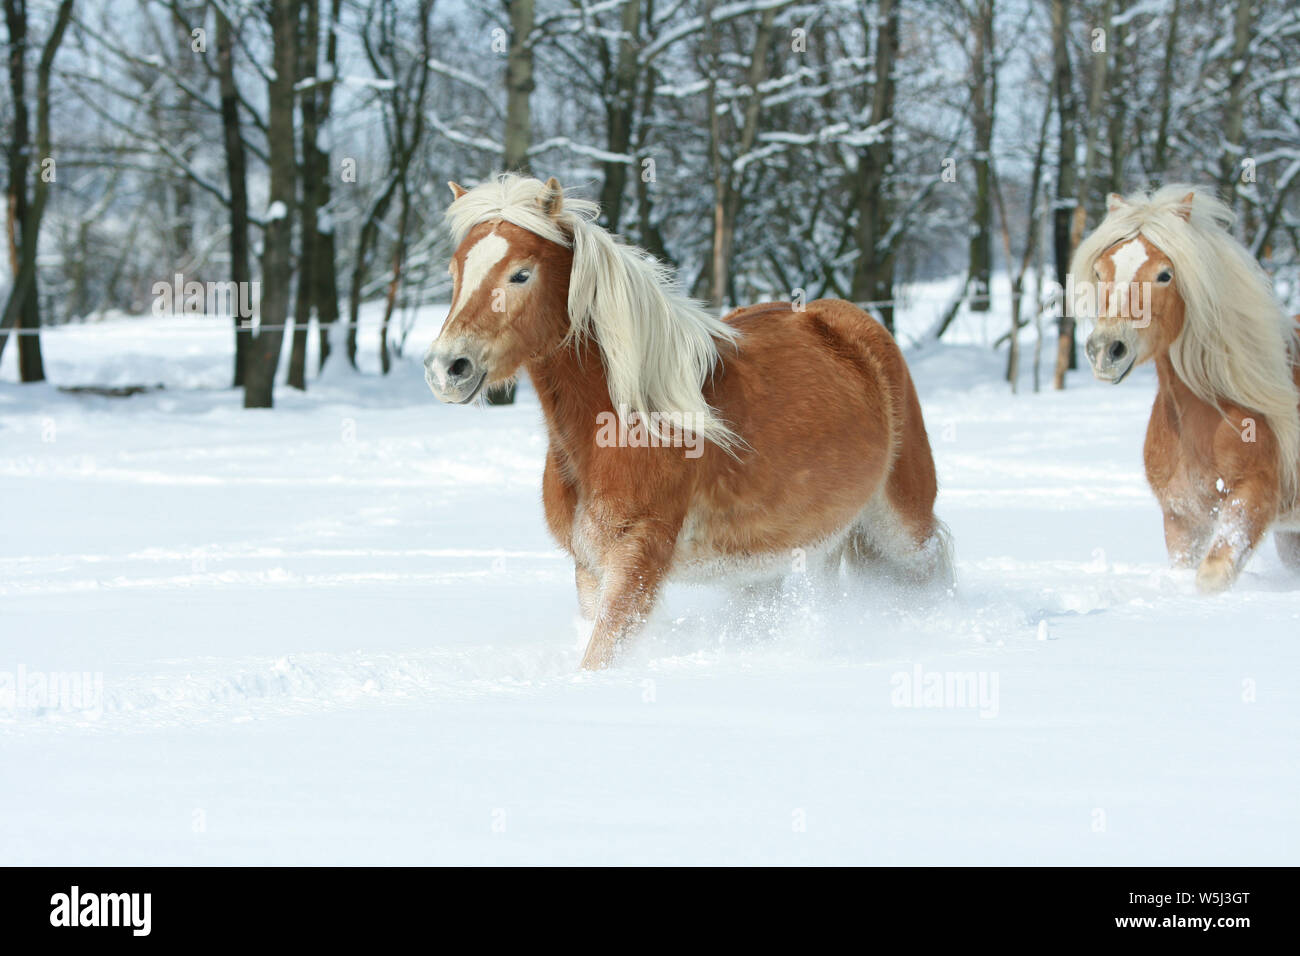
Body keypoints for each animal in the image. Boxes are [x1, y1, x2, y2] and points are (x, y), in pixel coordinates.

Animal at [424, 174, 951, 668]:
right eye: (455, 270)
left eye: (521, 274)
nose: (447, 368)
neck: (622, 423)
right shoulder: (589, 567)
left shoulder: (637, 562)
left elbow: (598, 659)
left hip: (902, 526)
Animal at [1074, 184, 1300, 593]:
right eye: (1100, 272)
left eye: (1165, 274)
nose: (1106, 350)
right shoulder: (1182, 518)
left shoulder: (1252, 499)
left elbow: (1210, 577)